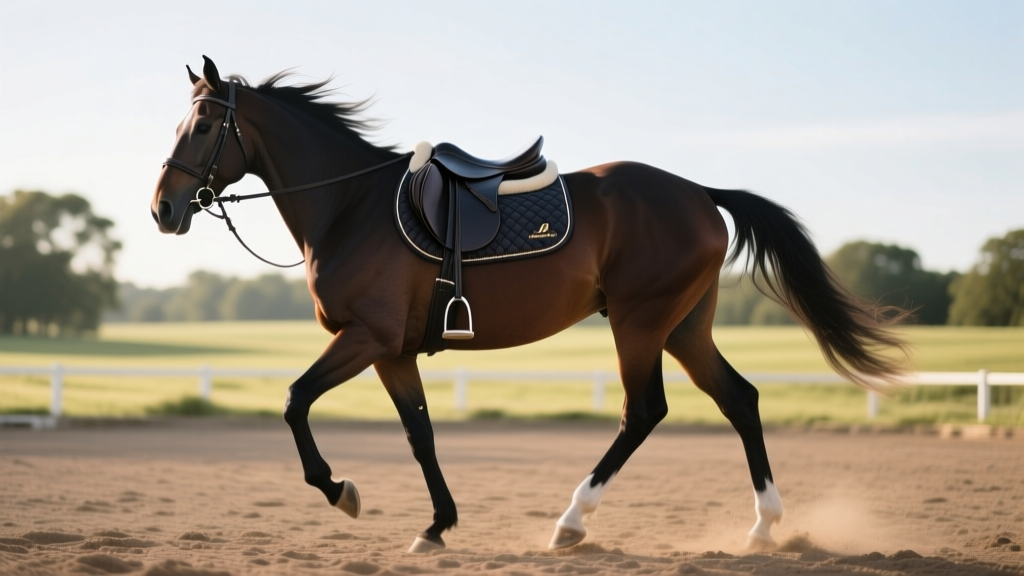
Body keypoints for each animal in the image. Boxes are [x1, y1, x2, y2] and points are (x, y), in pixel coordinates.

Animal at [151, 56, 909, 553]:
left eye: (202, 128)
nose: (162, 209)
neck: (351, 206)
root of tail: (698, 191)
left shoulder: (365, 339)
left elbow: (293, 401)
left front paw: (341, 491)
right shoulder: (394, 352)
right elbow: (420, 435)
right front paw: (436, 526)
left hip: (639, 323)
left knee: (644, 412)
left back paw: (573, 521)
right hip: (684, 327)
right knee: (741, 400)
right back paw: (762, 527)